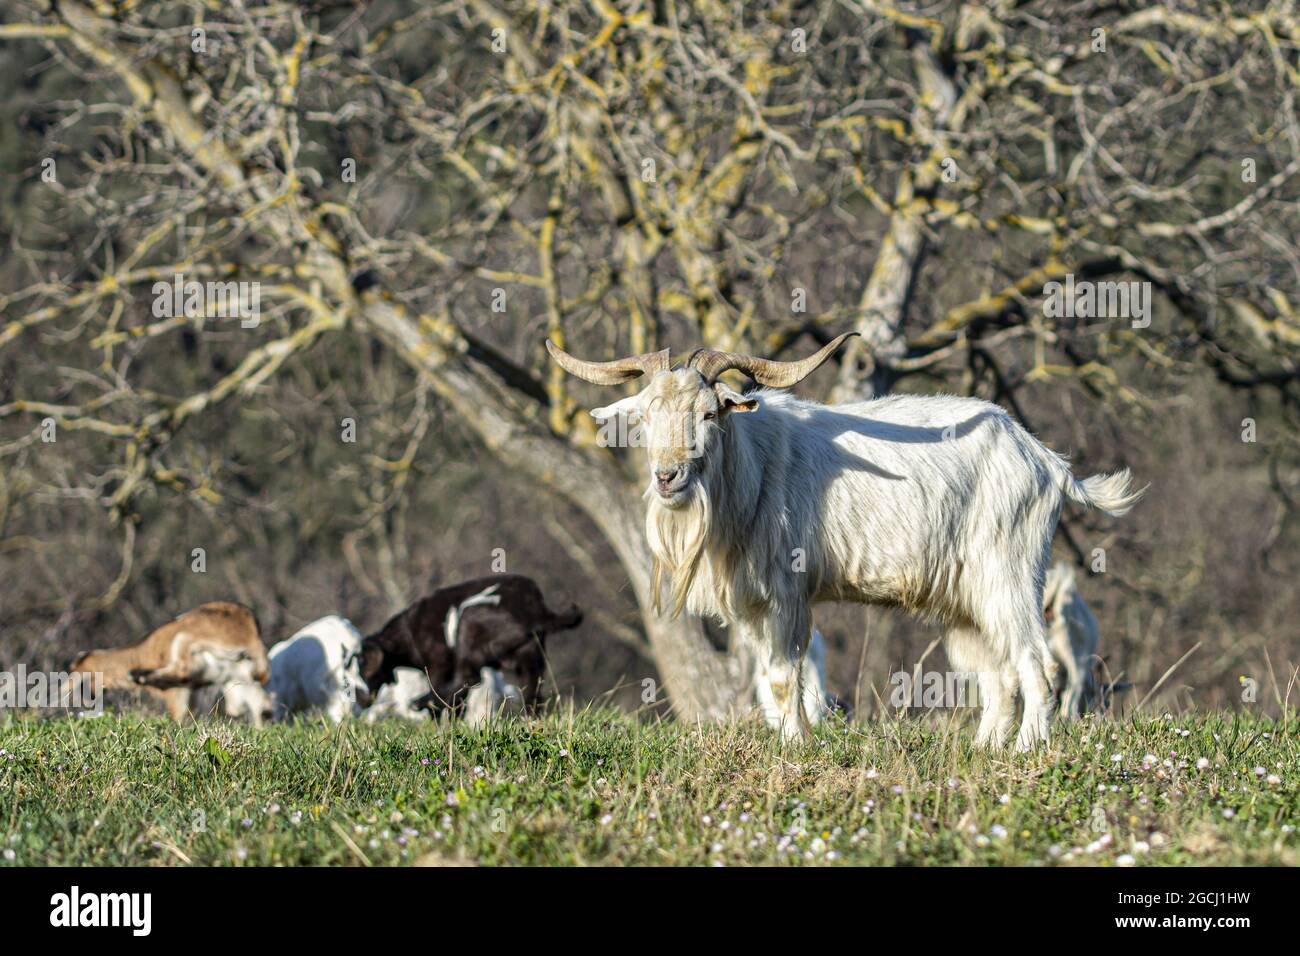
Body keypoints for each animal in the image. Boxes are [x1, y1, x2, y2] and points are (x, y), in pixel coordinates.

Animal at [69, 601, 268, 720]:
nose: (88, 698)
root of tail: (251, 632)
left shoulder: (177, 690)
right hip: (242, 677)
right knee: (258, 705)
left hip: (186, 638)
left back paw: (140, 675)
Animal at [359, 574, 581, 714]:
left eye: (362, 666)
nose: (360, 700)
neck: (408, 632)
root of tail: (535, 610)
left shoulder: (438, 664)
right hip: (531, 655)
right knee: (532, 693)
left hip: (469, 624)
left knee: (468, 678)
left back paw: (423, 702)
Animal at [548, 334, 1143, 749]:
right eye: (647, 416)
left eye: (709, 413)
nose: (667, 477)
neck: (751, 466)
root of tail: (1047, 462)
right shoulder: (753, 606)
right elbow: (767, 678)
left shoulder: (787, 593)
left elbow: (784, 677)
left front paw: (797, 748)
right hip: (965, 602)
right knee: (997, 676)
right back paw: (984, 752)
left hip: (1008, 574)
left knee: (1037, 663)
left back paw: (1025, 751)